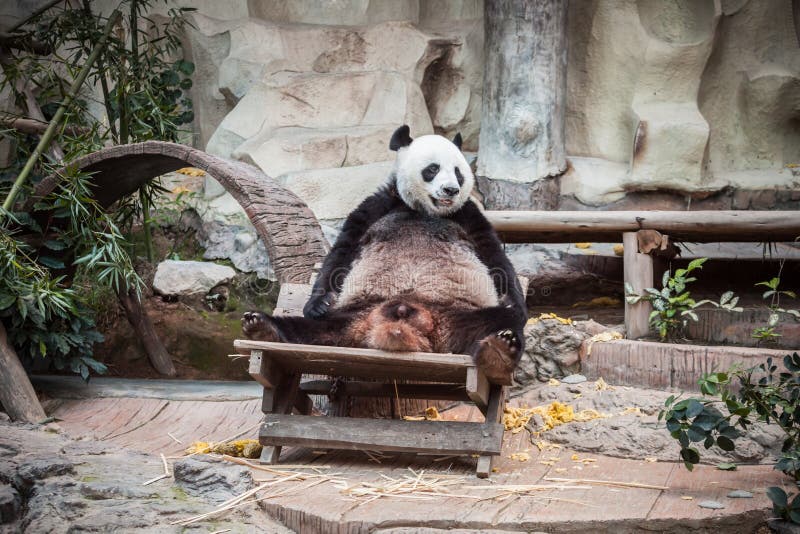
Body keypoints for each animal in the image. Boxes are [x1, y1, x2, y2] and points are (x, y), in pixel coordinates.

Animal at [242, 125, 527, 384]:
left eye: (458, 173)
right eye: (433, 169)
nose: (451, 190)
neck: (422, 210)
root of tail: (401, 326)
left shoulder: (467, 215)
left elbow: (494, 256)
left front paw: (514, 303)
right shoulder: (378, 205)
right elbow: (342, 251)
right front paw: (318, 303)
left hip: (461, 318)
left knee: (500, 323)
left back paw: (499, 350)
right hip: (347, 319)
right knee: (309, 330)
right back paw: (263, 328)